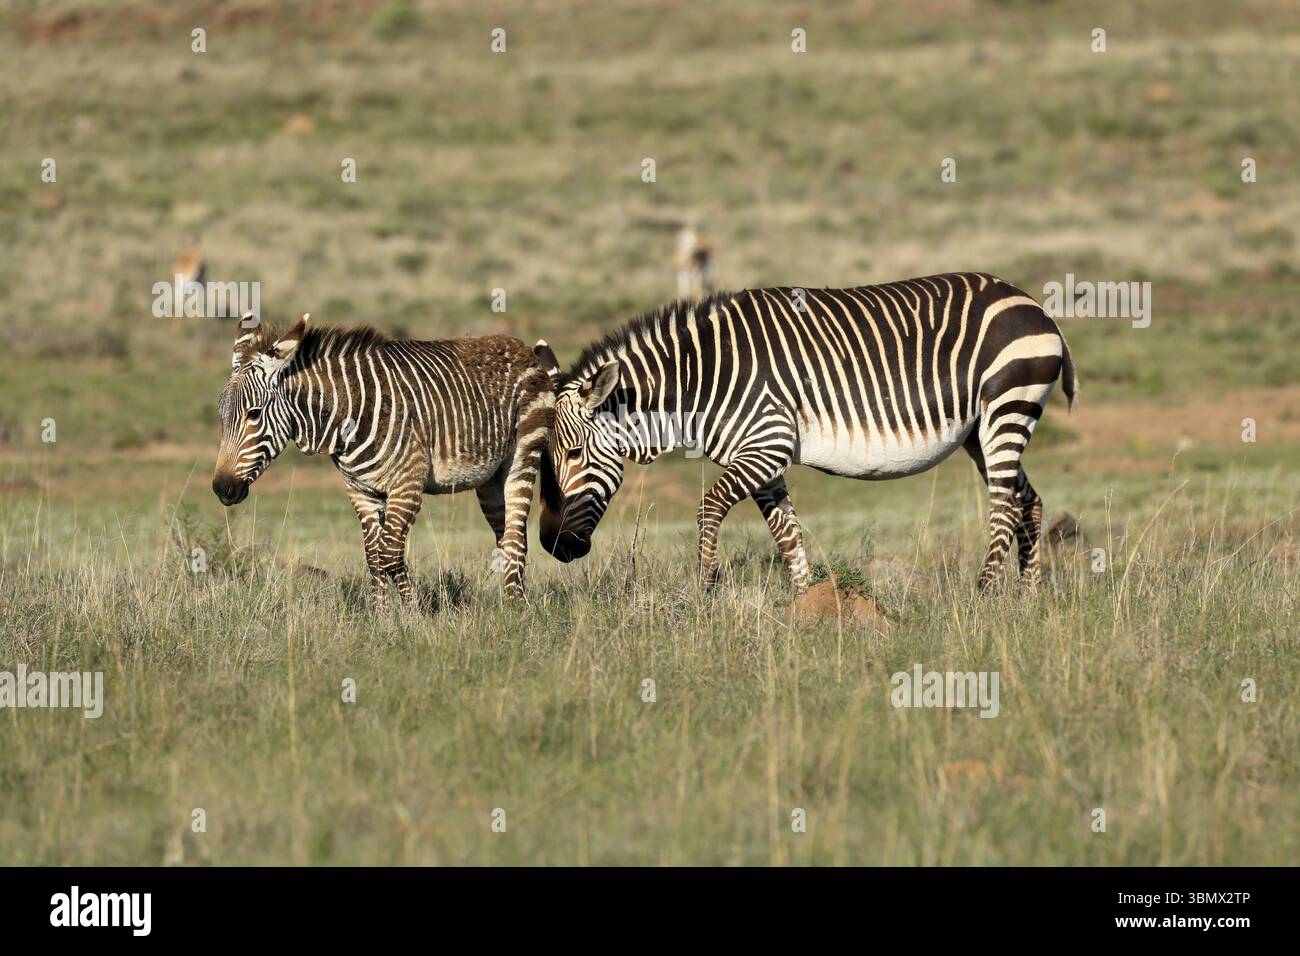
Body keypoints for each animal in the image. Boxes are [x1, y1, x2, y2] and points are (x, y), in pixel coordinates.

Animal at [212, 313, 554, 605]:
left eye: (254, 414)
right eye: (221, 416)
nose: (221, 488)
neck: (348, 416)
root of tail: (522, 348)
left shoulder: (407, 484)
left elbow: (390, 554)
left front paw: (415, 612)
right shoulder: (361, 490)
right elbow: (373, 557)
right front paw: (381, 616)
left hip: (521, 458)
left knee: (516, 537)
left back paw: (516, 609)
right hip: (489, 480)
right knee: (505, 537)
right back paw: (509, 601)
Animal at [535, 273, 1078, 593]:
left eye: (576, 454)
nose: (552, 545)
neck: (702, 379)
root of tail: (1031, 302)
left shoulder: (766, 442)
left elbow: (709, 507)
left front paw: (706, 587)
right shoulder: (762, 457)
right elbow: (787, 532)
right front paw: (805, 605)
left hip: (1007, 405)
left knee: (1005, 505)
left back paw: (983, 596)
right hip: (980, 432)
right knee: (1028, 500)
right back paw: (1026, 598)